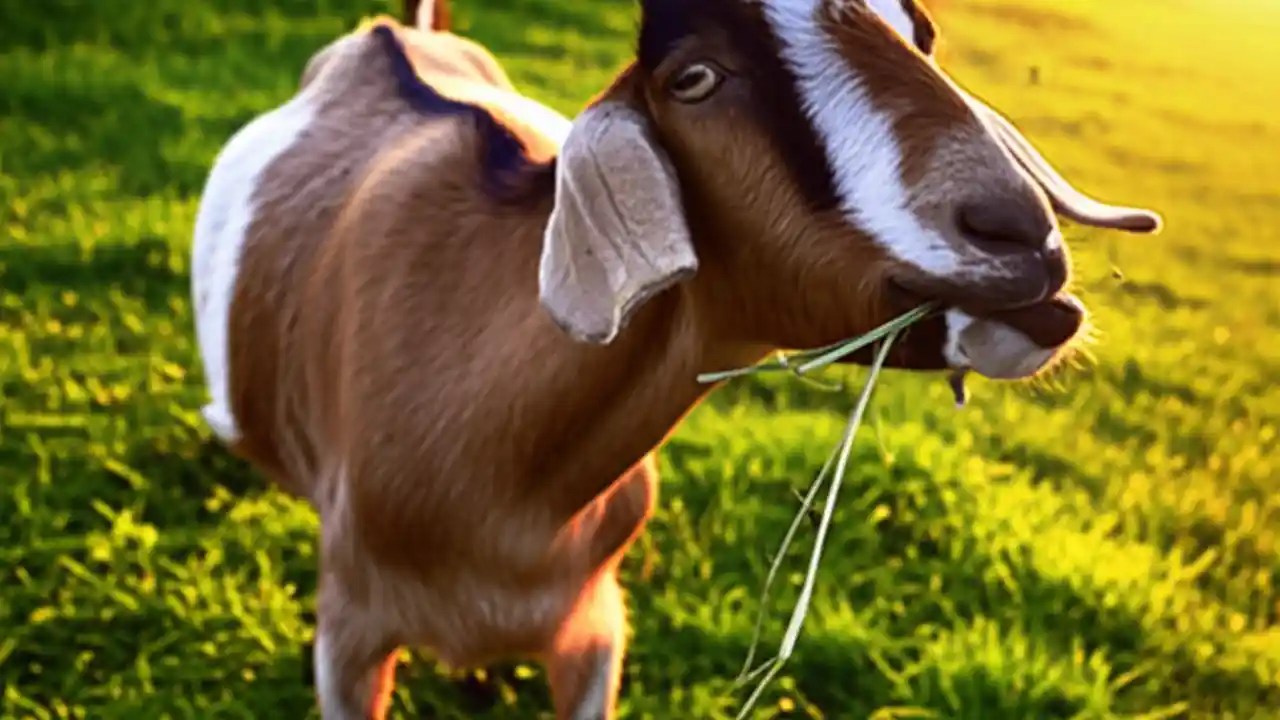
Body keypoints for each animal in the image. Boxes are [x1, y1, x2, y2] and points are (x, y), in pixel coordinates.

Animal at [190, 0, 1160, 717]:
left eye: (918, 33)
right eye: (693, 78)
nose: (1018, 230)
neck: (503, 483)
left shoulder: (595, 629)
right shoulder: (348, 638)